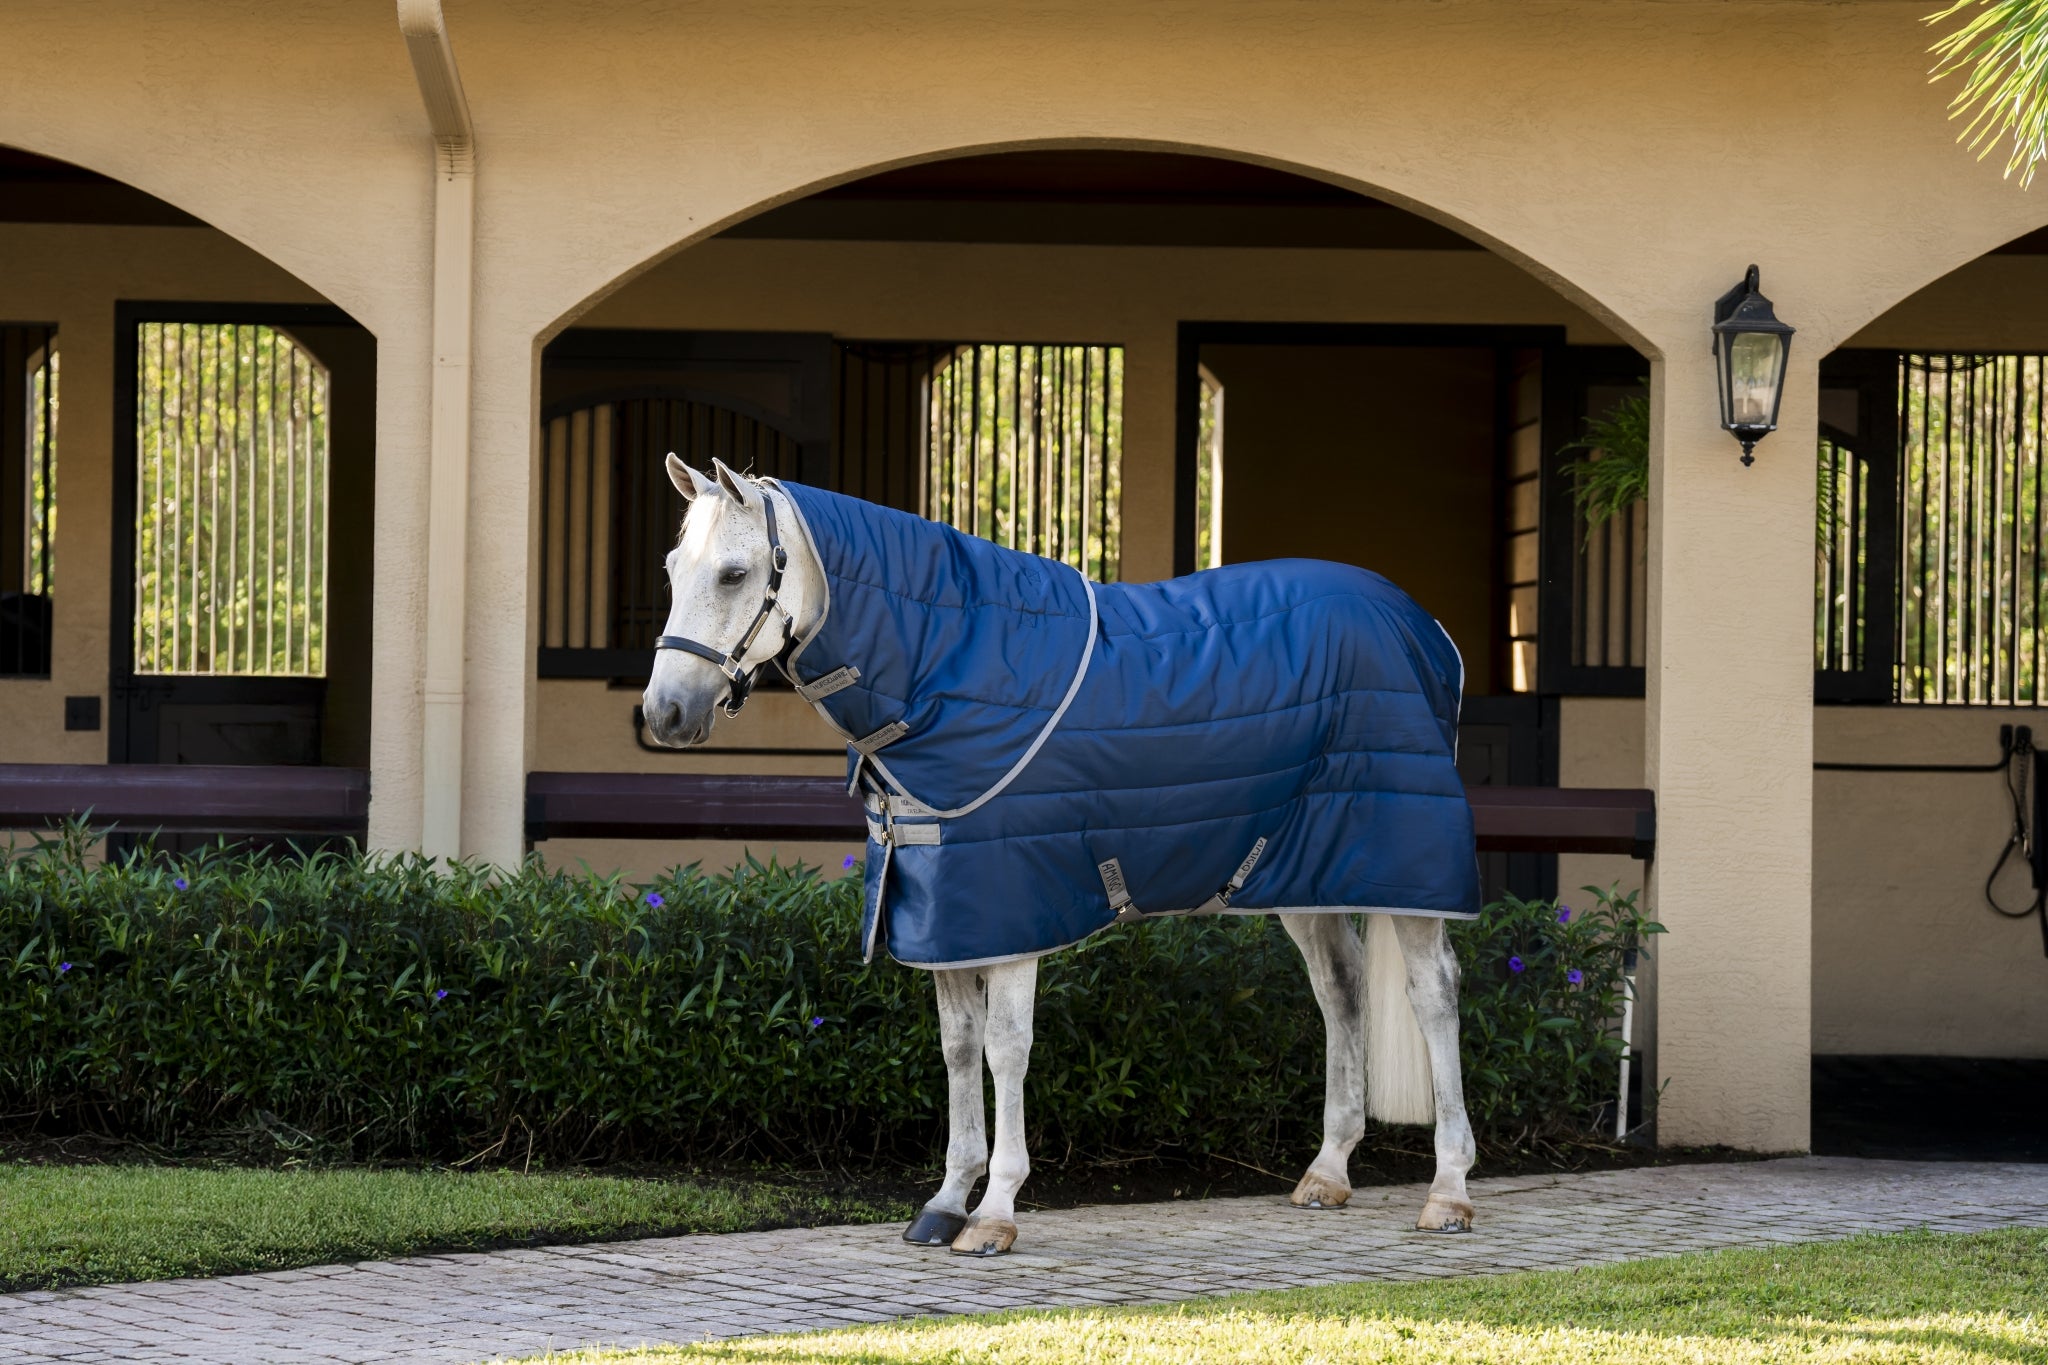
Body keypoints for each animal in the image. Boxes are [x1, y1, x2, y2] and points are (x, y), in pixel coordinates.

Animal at [641, 456, 1479, 1256]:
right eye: (674, 566)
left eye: (735, 573)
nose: (664, 712)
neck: (945, 666)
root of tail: (1427, 628)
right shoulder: (946, 913)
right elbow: (958, 1048)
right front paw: (945, 1202)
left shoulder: (1010, 911)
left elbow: (1006, 1049)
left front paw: (995, 1213)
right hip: (1302, 870)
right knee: (1341, 990)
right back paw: (1327, 1172)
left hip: (1406, 864)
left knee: (1434, 994)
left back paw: (1448, 1192)